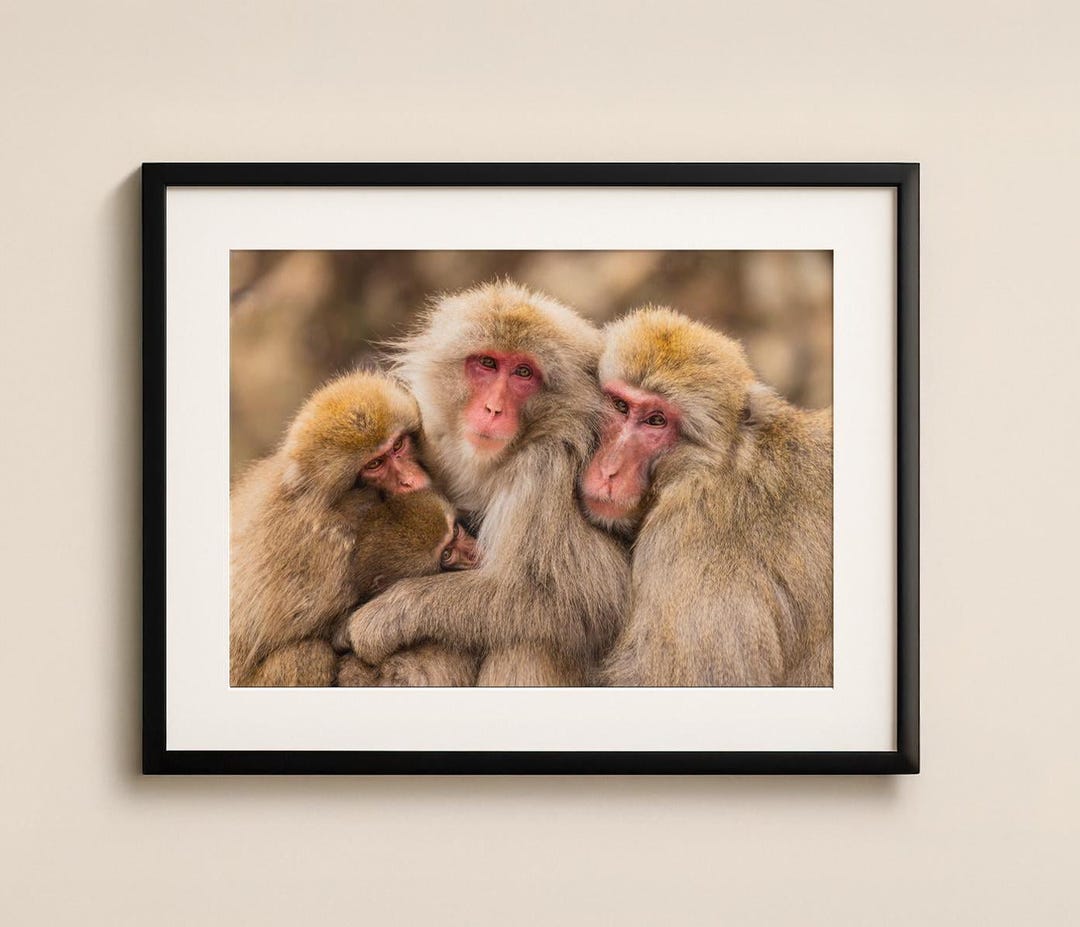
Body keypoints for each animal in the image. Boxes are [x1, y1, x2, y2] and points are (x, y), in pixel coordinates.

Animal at [337, 281, 631, 686]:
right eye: (488, 364)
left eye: (523, 372)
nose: (493, 409)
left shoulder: (543, 470)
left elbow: (580, 600)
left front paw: (385, 617)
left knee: (530, 641)